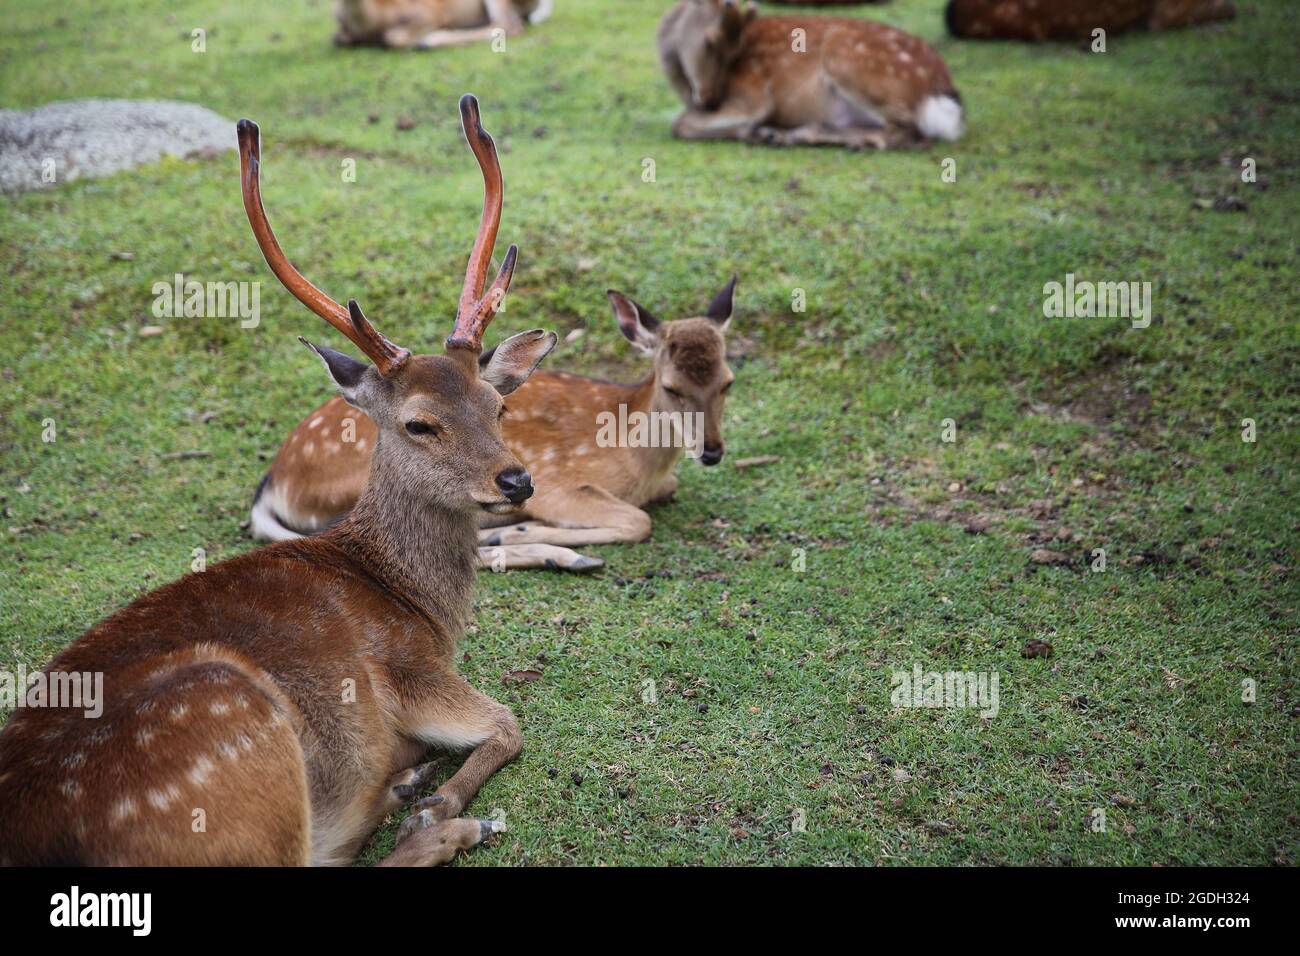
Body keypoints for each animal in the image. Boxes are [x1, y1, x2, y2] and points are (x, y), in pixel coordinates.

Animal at [0, 96, 557, 867]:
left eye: (497, 405)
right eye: (419, 423)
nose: (515, 480)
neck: (421, 607)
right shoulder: (411, 669)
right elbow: (509, 721)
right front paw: (440, 797)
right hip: (235, 740)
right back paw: (436, 813)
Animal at [251, 280, 740, 573]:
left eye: (728, 382)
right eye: (672, 387)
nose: (712, 450)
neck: (638, 461)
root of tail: (273, 481)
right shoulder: (562, 483)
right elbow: (639, 521)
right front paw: (532, 529)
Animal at [659, 0, 964, 150]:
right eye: (710, 42)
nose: (711, 100)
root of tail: (944, 89)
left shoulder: (753, 92)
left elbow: (680, 124)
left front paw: (759, 132)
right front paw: (762, 132)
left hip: (849, 58)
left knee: (910, 133)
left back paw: (805, 134)